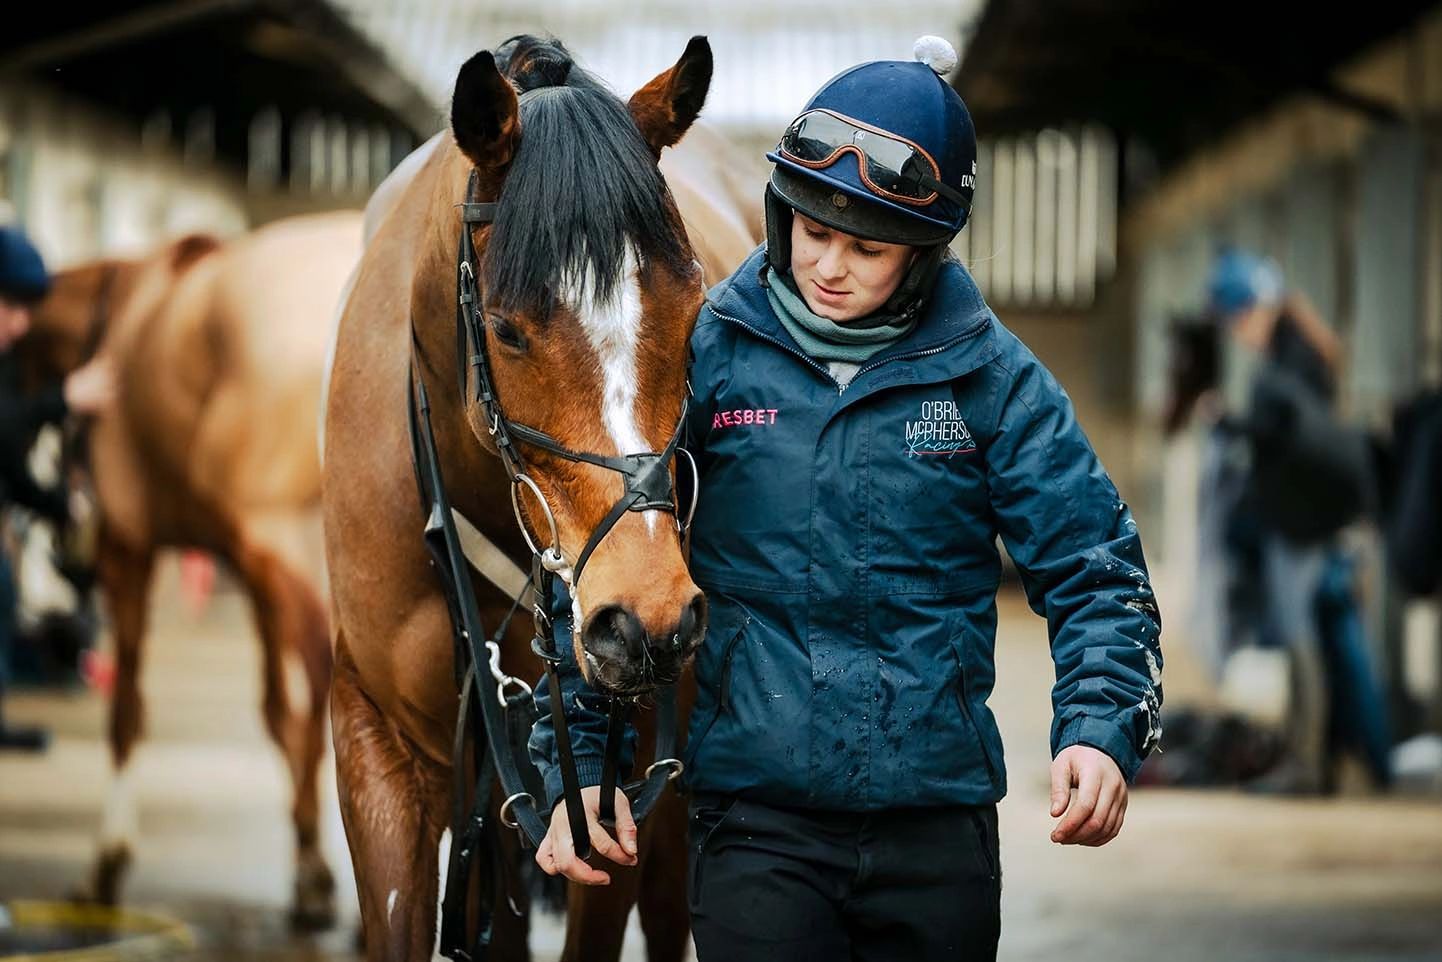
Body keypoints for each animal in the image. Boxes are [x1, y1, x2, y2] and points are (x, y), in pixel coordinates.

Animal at [20, 210, 361, 927]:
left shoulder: (129, 549)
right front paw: (308, 856)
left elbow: (126, 710)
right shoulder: (248, 567)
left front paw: (107, 863)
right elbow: (275, 712)